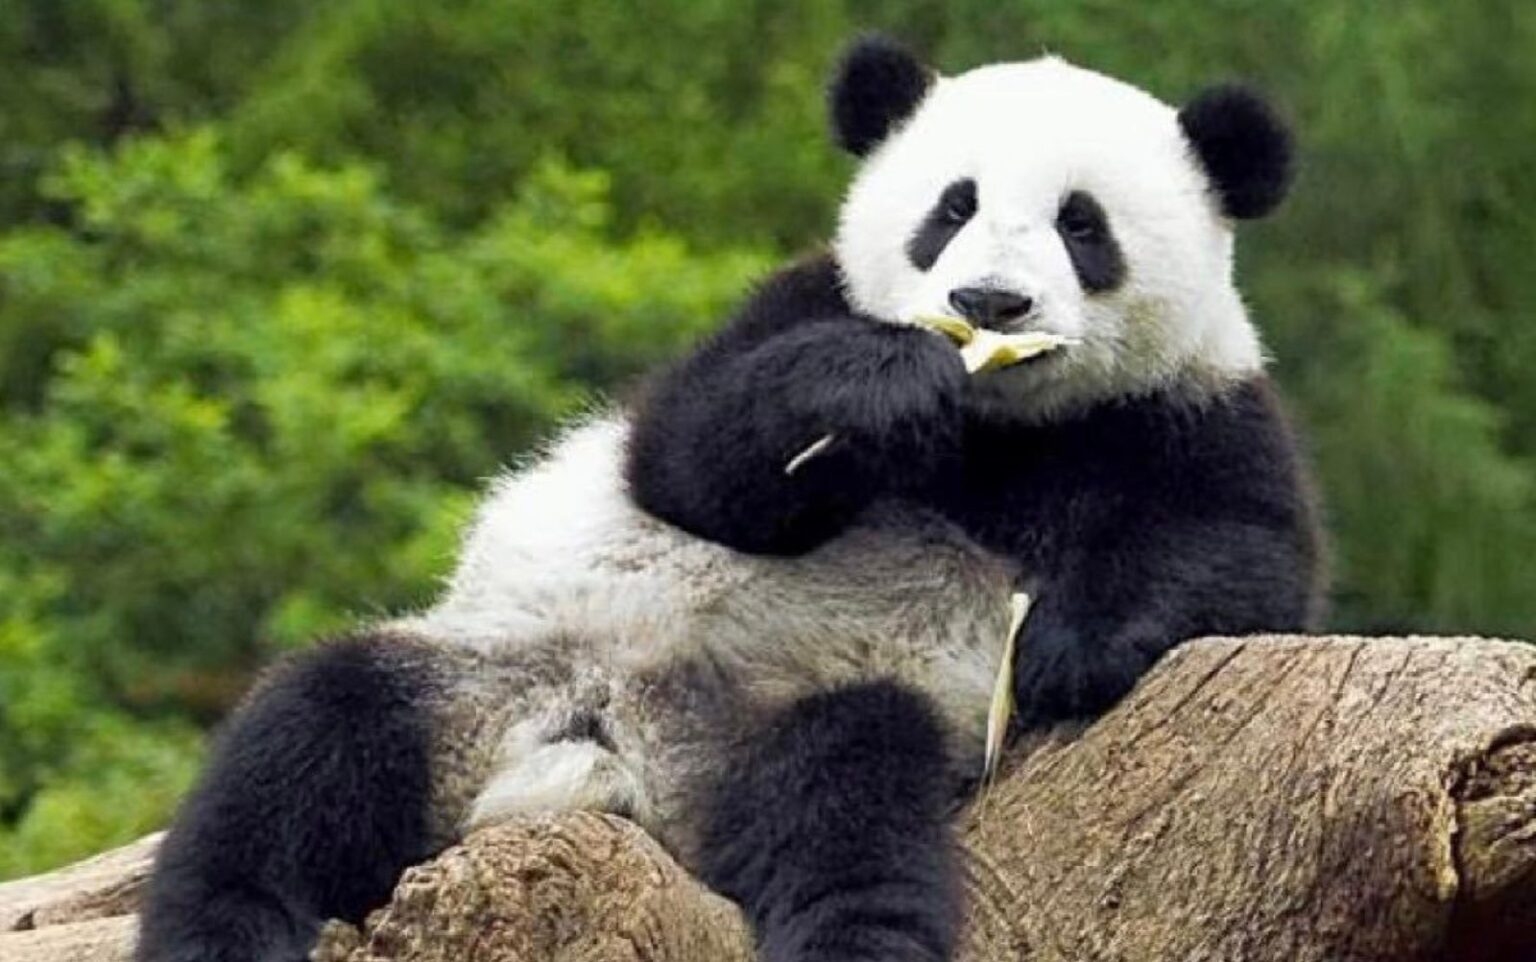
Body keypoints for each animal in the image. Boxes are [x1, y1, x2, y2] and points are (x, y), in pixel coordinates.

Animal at [137, 35, 1324, 962]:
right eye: (952, 207)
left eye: (1083, 225)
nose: (989, 302)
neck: (998, 424)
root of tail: (606, 756)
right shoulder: (791, 305)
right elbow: (687, 458)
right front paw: (876, 389)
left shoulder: (1191, 407)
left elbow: (1243, 556)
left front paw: (1066, 649)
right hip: (480, 673)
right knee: (300, 748)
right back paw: (226, 922)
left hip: (793, 714)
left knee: (844, 808)